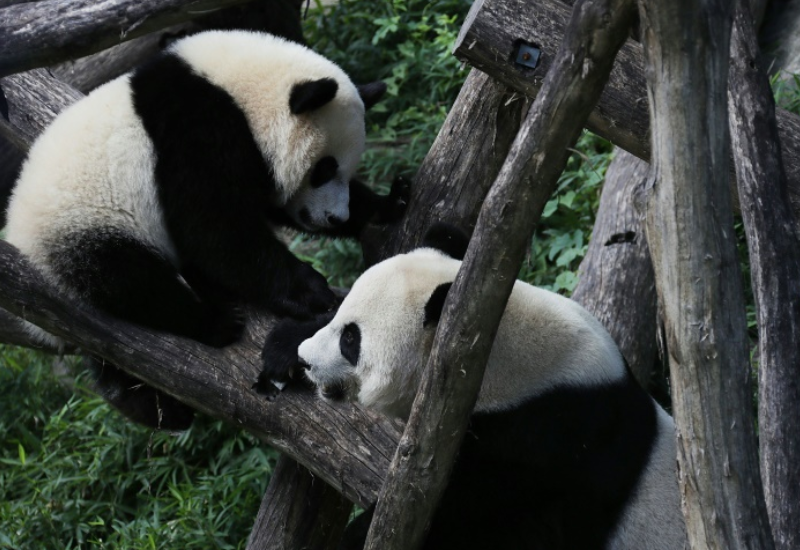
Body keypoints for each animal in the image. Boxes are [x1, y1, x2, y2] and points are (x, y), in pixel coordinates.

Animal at [4, 30, 408, 429]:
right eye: (324, 168)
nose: (335, 217)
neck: (238, 90)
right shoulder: (194, 132)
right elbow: (214, 228)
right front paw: (311, 290)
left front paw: (386, 204)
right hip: (86, 228)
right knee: (131, 280)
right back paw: (213, 323)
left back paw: (154, 407)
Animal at [272, 224, 687, 549]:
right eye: (340, 321)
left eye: (351, 340)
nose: (307, 360)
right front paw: (285, 345)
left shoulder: (552, 443)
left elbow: (485, 519)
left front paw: (358, 535)